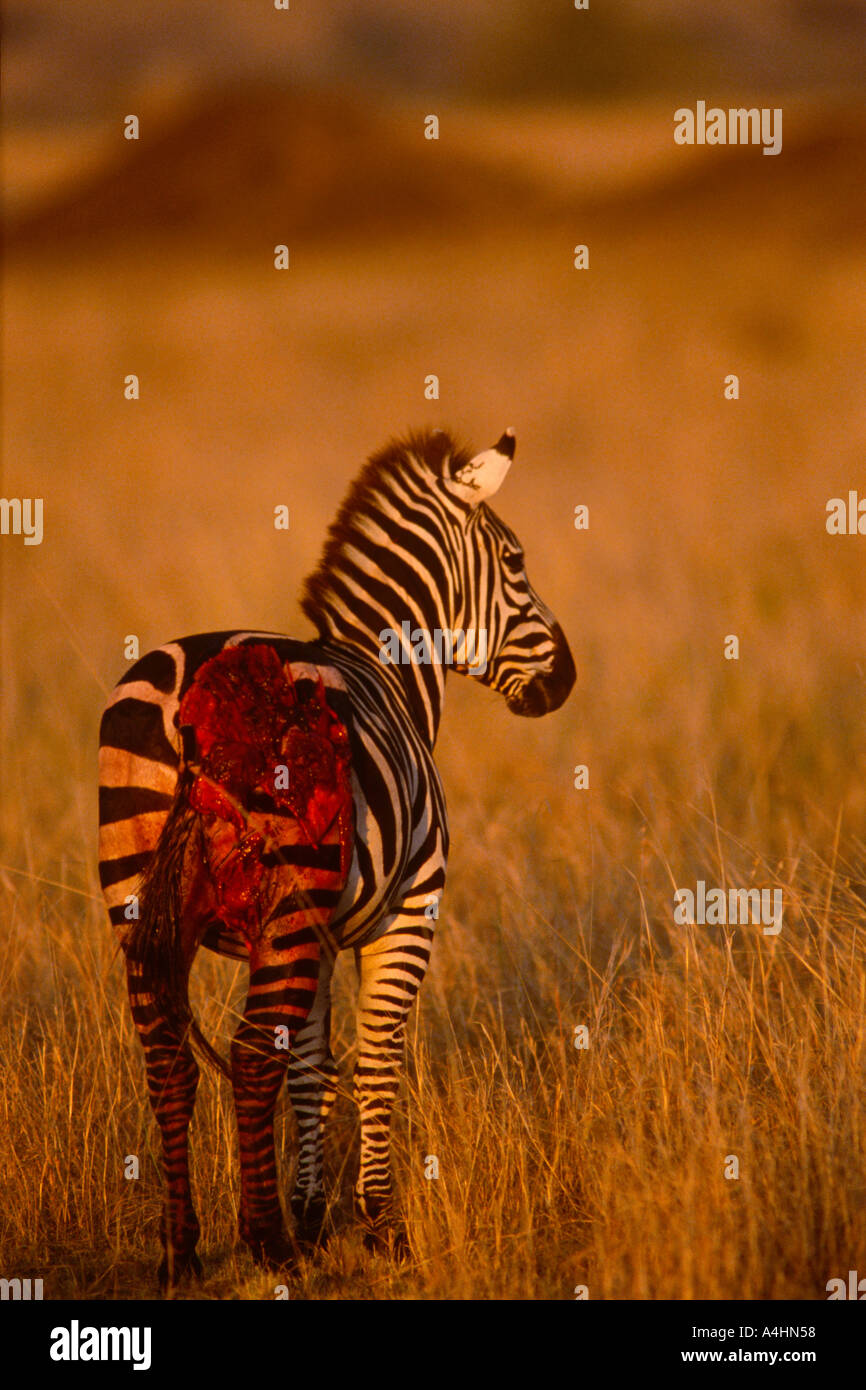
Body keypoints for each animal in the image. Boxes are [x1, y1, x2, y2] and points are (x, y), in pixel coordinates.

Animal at [97, 425, 575, 1286]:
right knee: (251, 1056)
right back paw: (266, 1243)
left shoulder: (320, 932)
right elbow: (375, 1056)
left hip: (139, 895)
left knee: (169, 1056)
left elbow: (314, 1062)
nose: (567, 679)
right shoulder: (412, 906)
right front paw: (380, 1226)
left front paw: (316, 1213)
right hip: (284, 904)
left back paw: (184, 1251)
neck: (391, 668)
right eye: (517, 562)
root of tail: (193, 695)